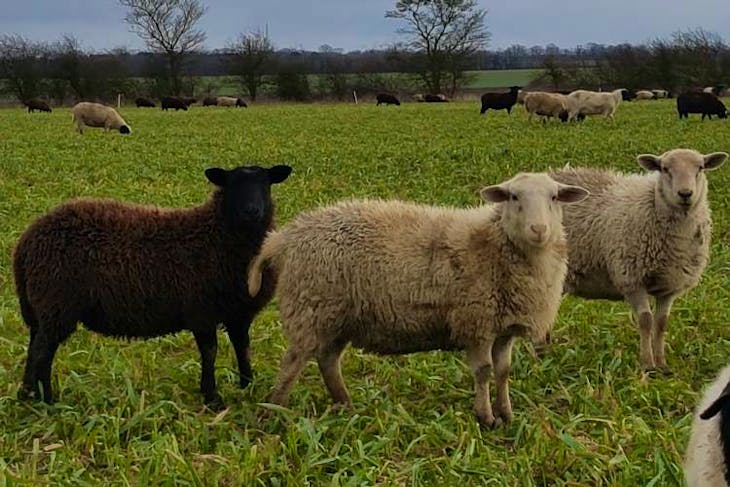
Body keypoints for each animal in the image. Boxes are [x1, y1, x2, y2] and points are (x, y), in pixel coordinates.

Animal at [13, 164, 293, 407]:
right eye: (231, 184)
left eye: (266, 183)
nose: (251, 211)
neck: (215, 235)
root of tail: (27, 240)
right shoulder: (200, 310)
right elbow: (210, 352)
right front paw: (212, 397)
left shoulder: (239, 312)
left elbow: (243, 347)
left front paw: (247, 386)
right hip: (57, 304)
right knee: (41, 352)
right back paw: (46, 400)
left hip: (44, 308)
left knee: (35, 347)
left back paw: (28, 395)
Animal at [247, 173, 589, 427]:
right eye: (513, 197)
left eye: (554, 197)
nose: (539, 229)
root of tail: (284, 237)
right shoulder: (476, 322)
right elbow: (483, 371)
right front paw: (486, 418)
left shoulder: (503, 328)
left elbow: (503, 372)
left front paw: (507, 415)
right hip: (310, 307)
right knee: (292, 363)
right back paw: (274, 411)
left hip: (337, 315)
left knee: (328, 360)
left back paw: (345, 404)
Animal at [549, 149, 727, 371]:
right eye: (664, 169)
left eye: (700, 168)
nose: (685, 194)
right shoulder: (631, 278)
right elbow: (646, 320)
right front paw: (647, 365)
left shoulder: (669, 286)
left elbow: (661, 322)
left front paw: (662, 365)